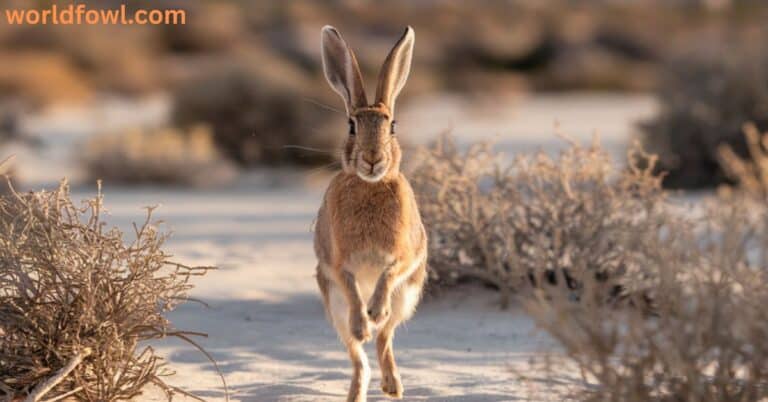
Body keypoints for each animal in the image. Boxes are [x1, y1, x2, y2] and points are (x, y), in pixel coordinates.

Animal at [313, 25, 427, 402]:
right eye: (351, 126)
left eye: (392, 126)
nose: (373, 158)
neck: (370, 186)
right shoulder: (336, 262)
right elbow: (350, 285)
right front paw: (363, 319)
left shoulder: (407, 256)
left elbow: (390, 273)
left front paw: (375, 309)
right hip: (333, 306)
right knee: (358, 354)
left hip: (408, 297)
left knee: (384, 338)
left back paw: (392, 385)